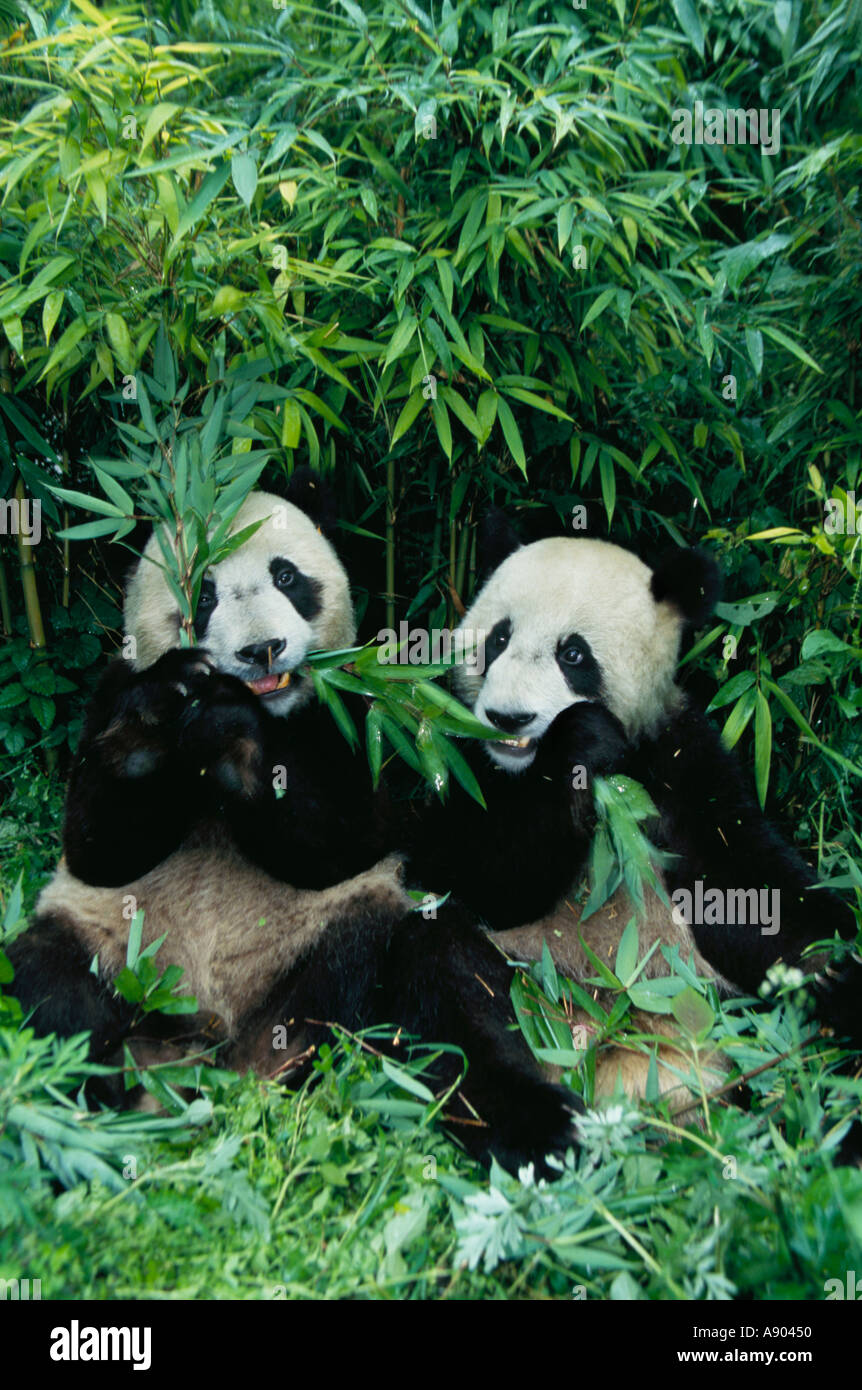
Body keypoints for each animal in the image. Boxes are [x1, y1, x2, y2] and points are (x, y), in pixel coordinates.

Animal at [8, 475, 581, 1178]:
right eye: (203, 593)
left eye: (286, 576)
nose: (261, 650)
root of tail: (228, 1051)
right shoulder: (111, 691)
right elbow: (98, 849)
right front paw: (156, 722)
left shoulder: (365, 710)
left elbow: (353, 836)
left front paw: (235, 734)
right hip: (114, 953)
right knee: (46, 984)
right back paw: (101, 1096)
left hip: (343, 949)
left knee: (439, 980)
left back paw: (538, 1131)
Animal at [405, 511, 861, 1104]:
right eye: (498, 638)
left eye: (573, 654)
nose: (508, 718)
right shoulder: (450, 754)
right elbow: (471, 871)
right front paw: (581, 740)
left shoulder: (678, 763)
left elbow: (749, 892)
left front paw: (841, 974)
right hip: (518, 984)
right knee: (450, 996)